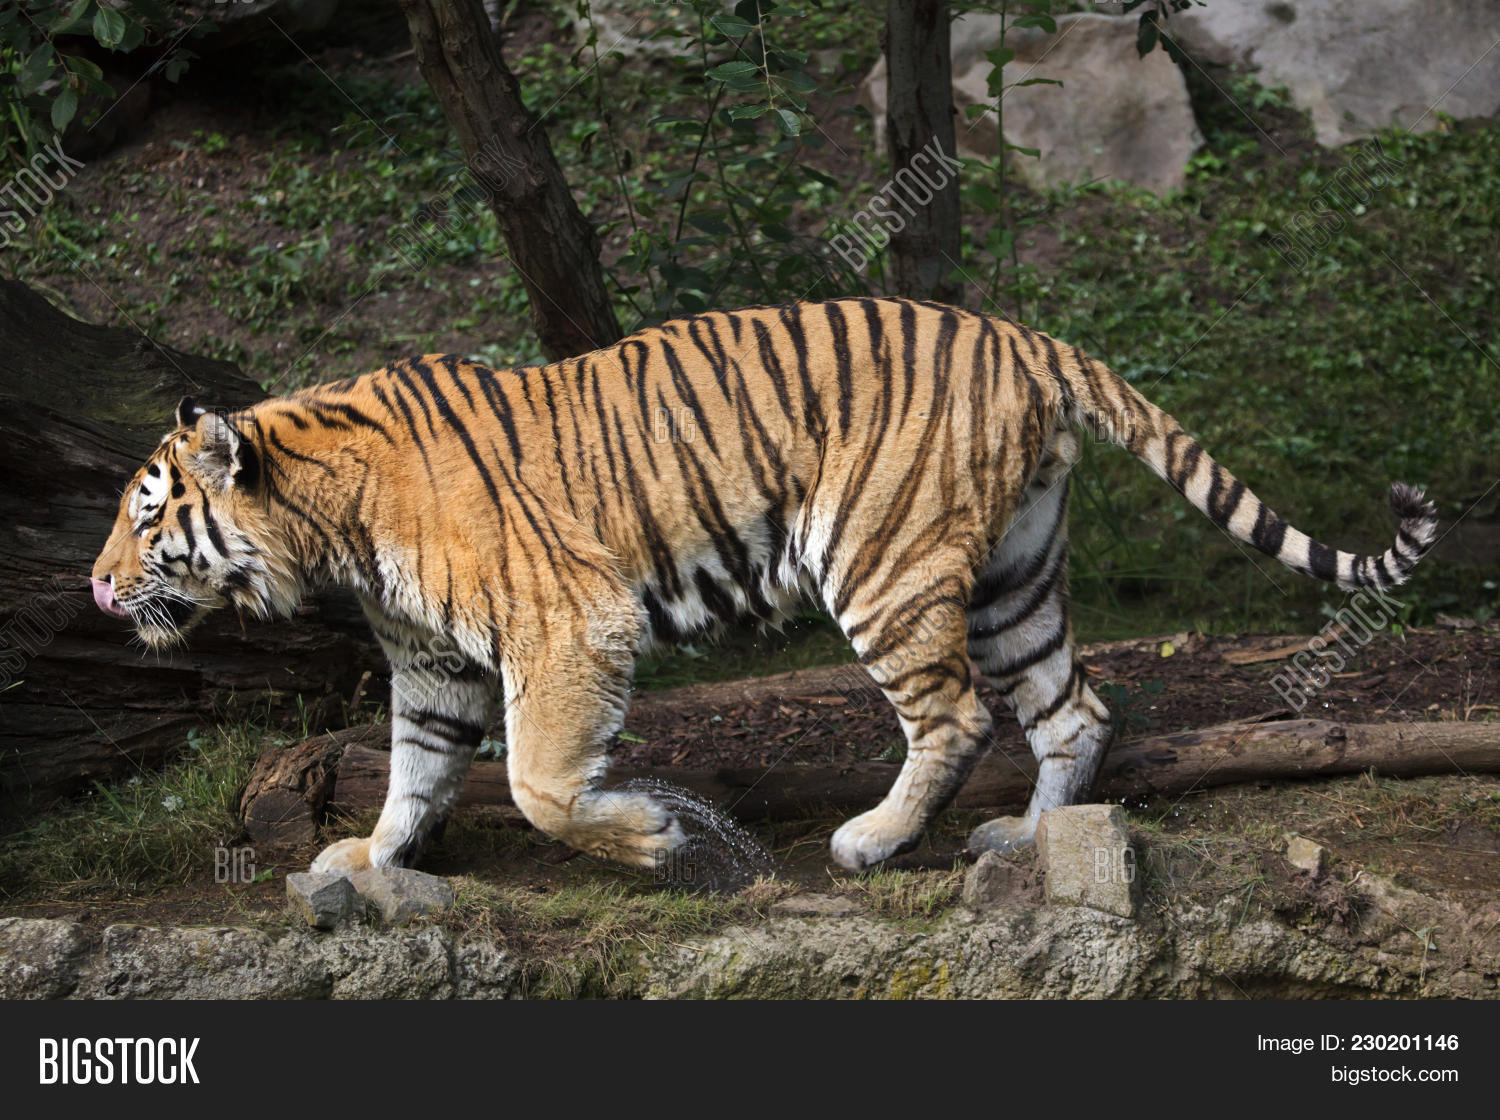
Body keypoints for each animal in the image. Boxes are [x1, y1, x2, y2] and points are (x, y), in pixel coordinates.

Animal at [90, 297, 1438, 875]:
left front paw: (651, 839)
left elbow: (537, 786)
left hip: (883, 559)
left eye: (148, 514)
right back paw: (1029, 842)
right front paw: (365, 859)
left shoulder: (568, 623)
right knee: (1074, 711)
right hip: (1014, 577)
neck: (330, 527)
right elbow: (415, 772)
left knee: (956, 714)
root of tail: (1023, 332)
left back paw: (874, 841)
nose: (97, 588)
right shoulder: (430, 659)